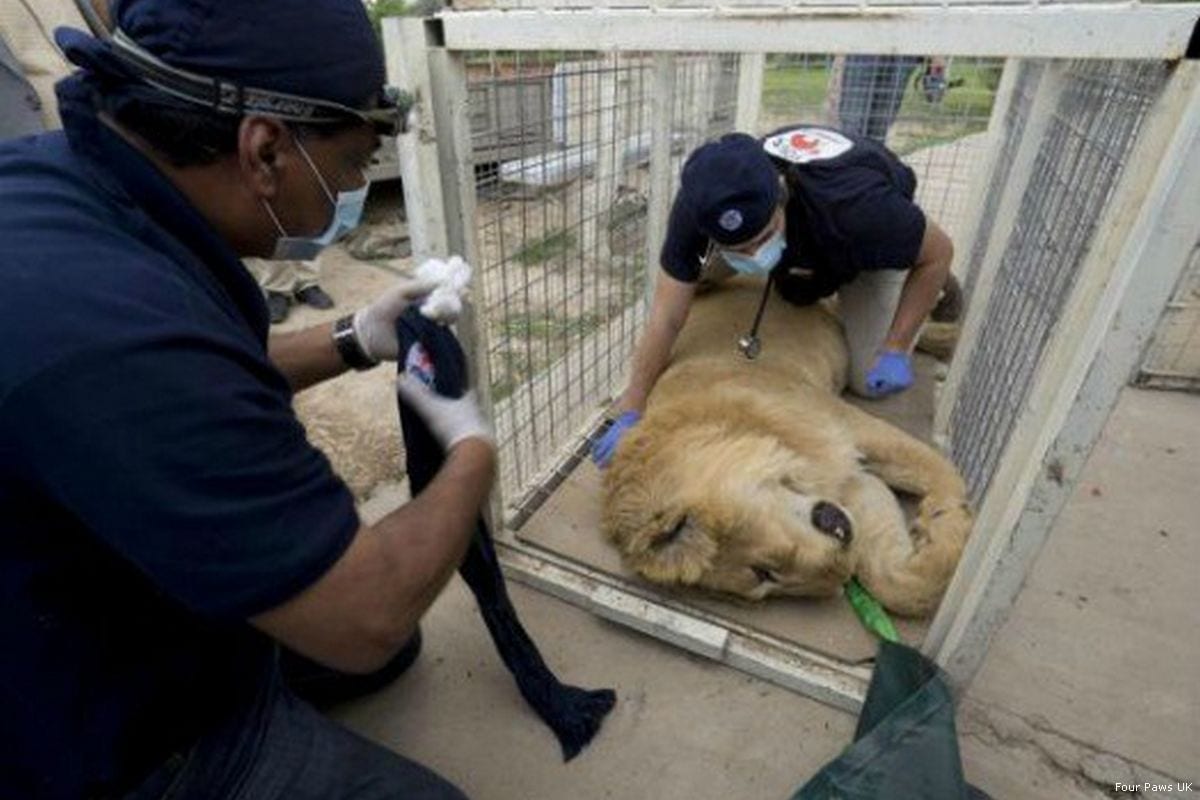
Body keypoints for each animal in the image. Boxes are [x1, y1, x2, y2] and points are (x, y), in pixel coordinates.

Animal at [601, 276, 973, 617]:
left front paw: (948, 517)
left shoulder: (852, 430)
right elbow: (897, 586)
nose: (841, 573)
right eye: (766, 577)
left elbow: (944, 474)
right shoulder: (852, 485)